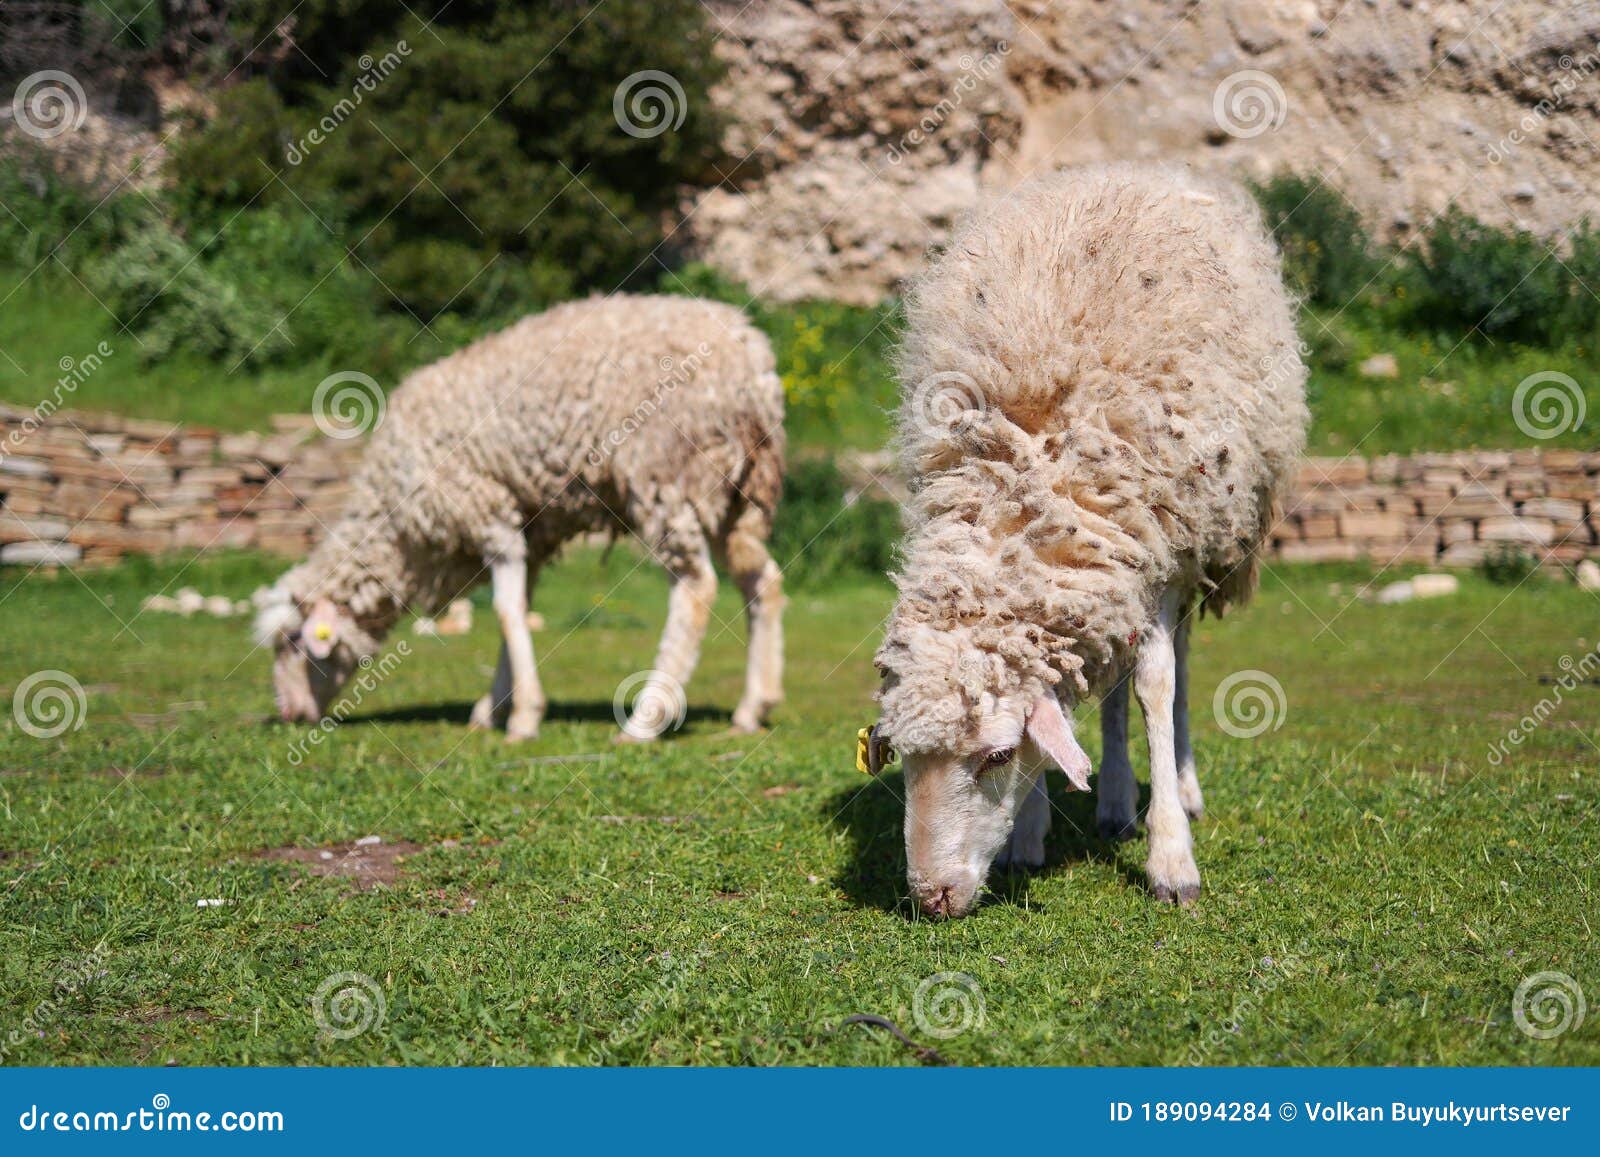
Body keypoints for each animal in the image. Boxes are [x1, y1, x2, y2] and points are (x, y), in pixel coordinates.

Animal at [255, 294, 786, 743]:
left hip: (667, 474)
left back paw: (645, 720)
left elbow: (506, 612)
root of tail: (753, 367)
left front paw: (524, 717)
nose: (291, 715)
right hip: (735, 493)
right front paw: (492, 707)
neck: (403, 537)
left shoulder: (487, 512)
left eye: (293, 644)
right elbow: (517, 610)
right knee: (762, 579)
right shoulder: (531, 528)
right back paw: (752, 708)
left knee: (696, 589)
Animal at [868, 162, 1307, 917]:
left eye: (995, 756)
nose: (933, 897)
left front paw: (1172, 861)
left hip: (1190, 550)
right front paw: (1029, 835)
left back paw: (1179, 788)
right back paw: (1114, 804)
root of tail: (1130, 167)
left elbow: (1157, 686)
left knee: (1174, 669)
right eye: (903, 754)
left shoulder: (1156, 550)